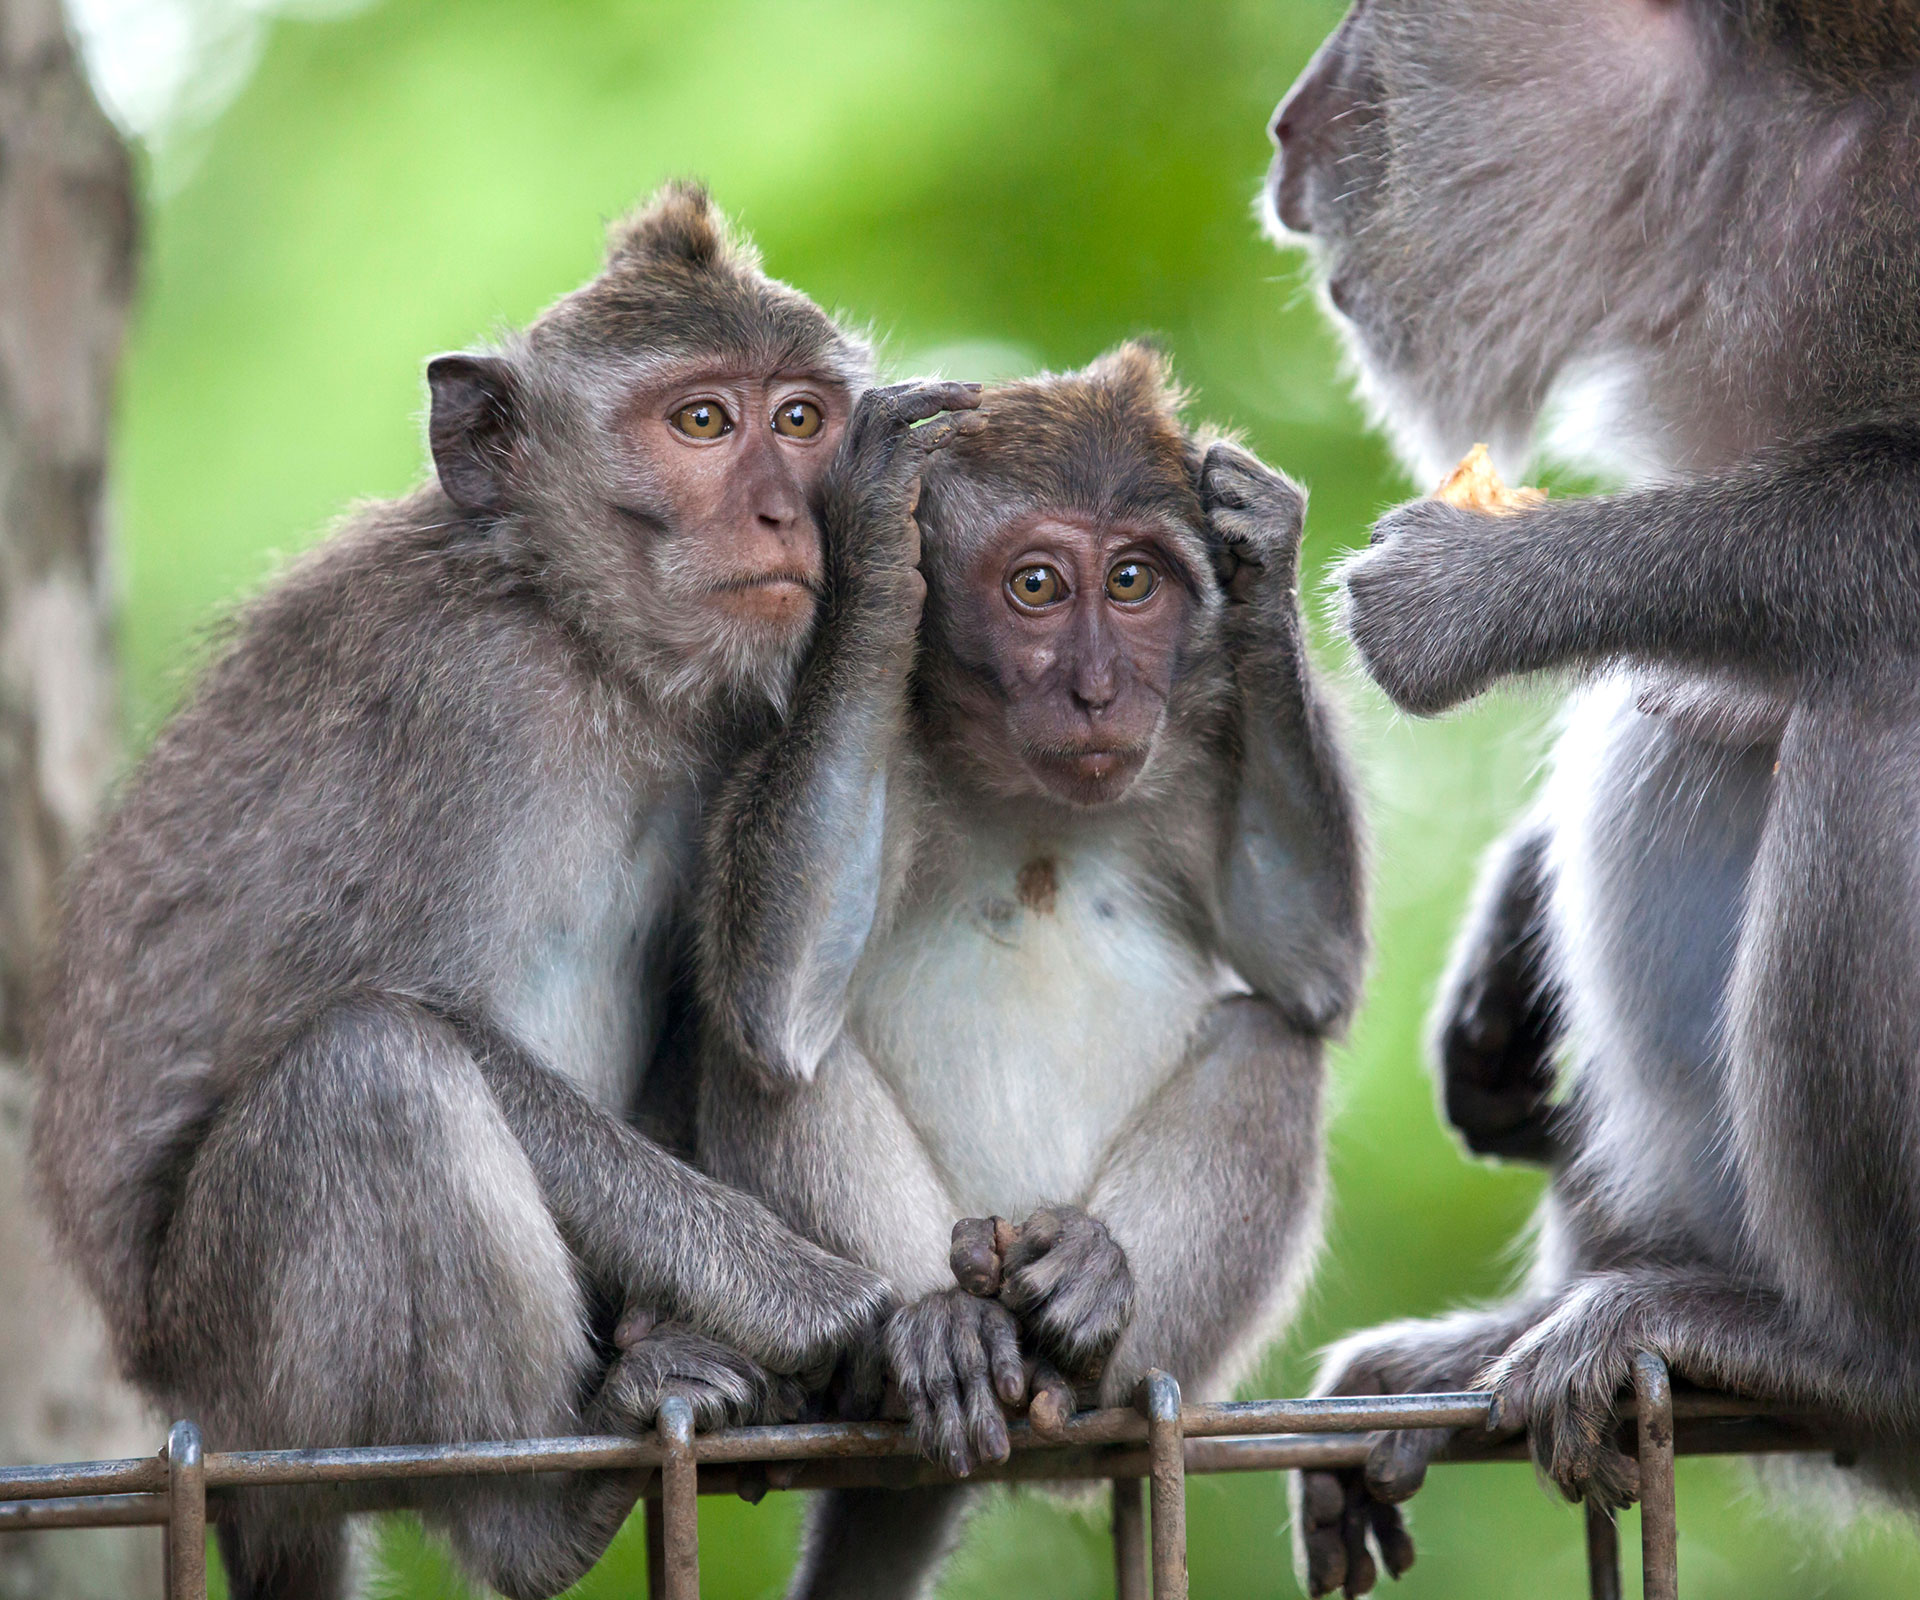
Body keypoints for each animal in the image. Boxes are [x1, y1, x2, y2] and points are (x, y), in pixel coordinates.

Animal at [25, 183, 992, 1600]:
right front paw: (847, 1305)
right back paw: (532, 1514)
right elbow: (442, 1023)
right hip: (248, 1369)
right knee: (373, 1072)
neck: (585, 642)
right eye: (703, 422)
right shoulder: (469, 707)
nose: (789, 517)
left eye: (800, 419)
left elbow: (751, 1009)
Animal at [694, 343, 1367, 1599]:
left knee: (1272, 1042)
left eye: (1136, 582)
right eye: (1040, 587)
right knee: (765, 1059)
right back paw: (932, 1338)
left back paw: (1085, 1331)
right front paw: (877, 531)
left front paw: (1264, 555)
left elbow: (1309, 965)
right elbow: (772, 999)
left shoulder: (1196, 731)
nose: (1102, 687)